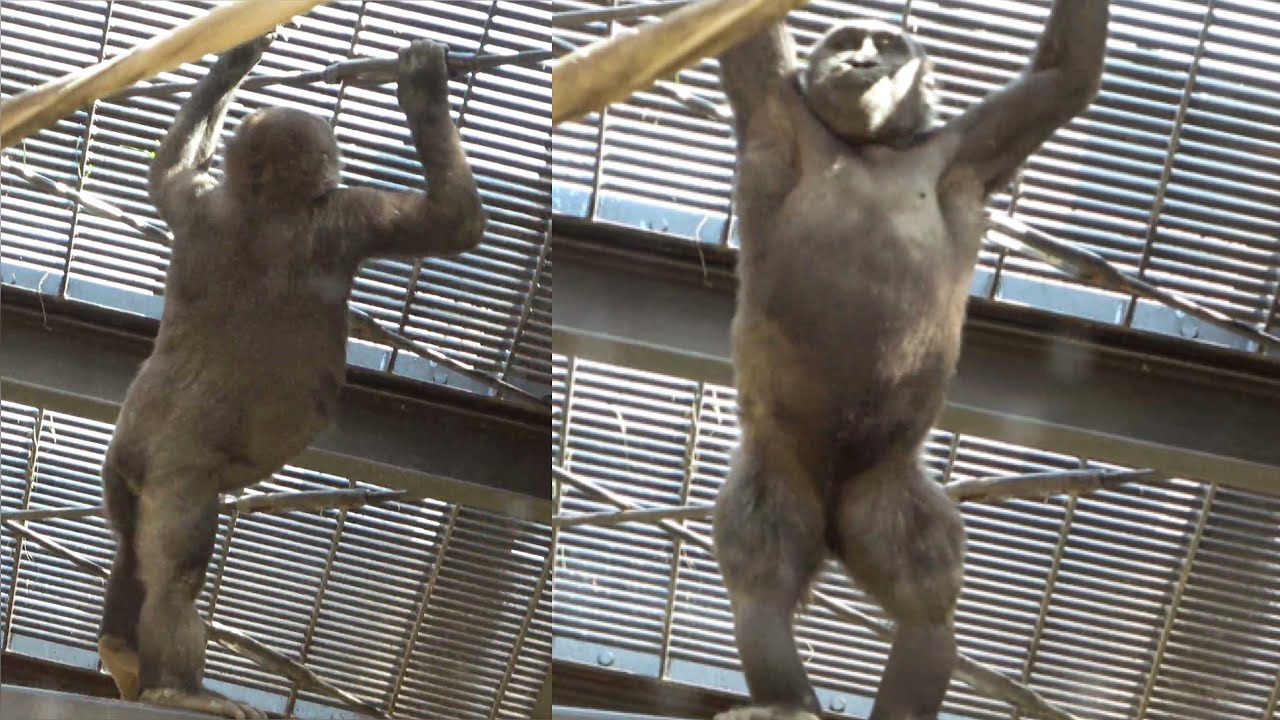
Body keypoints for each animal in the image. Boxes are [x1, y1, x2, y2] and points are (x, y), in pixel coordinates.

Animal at [96, 34, 484, 719]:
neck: (257, 198)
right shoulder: (350, 216)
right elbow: (453, 220)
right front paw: (422, 85)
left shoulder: (196, 201)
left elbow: (165, 174)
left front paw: (236, 58)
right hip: (176, 476)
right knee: (175, 576)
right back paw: (181, 688)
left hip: (120, 467)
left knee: (132, 552)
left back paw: (121, 650)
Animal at [710, 3, 1109, 719]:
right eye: (847, 39)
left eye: (889, 45)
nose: (864, 58)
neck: (870, 146)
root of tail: (834, 511)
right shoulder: (776, 108)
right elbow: (749, 53)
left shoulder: (969, 145)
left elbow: (1065, 78)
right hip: (780, 464)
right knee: (764, 577)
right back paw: (786, 700)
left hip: (883, 486)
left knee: (923, 592)